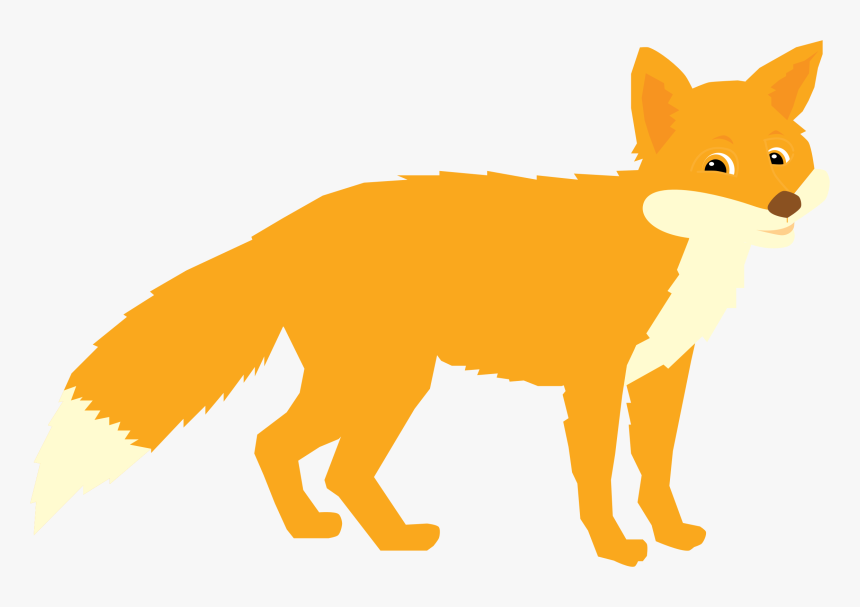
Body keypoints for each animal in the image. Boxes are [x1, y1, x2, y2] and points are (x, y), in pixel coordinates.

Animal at [32, 41, 829, 567]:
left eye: (779, 157)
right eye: (715, 165)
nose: (784, 202)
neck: (679, 248)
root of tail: (284, 225)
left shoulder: (663, 377)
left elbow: (656, 471)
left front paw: (671, 534)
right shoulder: (595, 385)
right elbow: (599, 478)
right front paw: (613, 548)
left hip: (372, 385)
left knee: (282, 447)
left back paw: (327, 532)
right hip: (388, 384)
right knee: (319, 460)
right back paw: (386, 540)